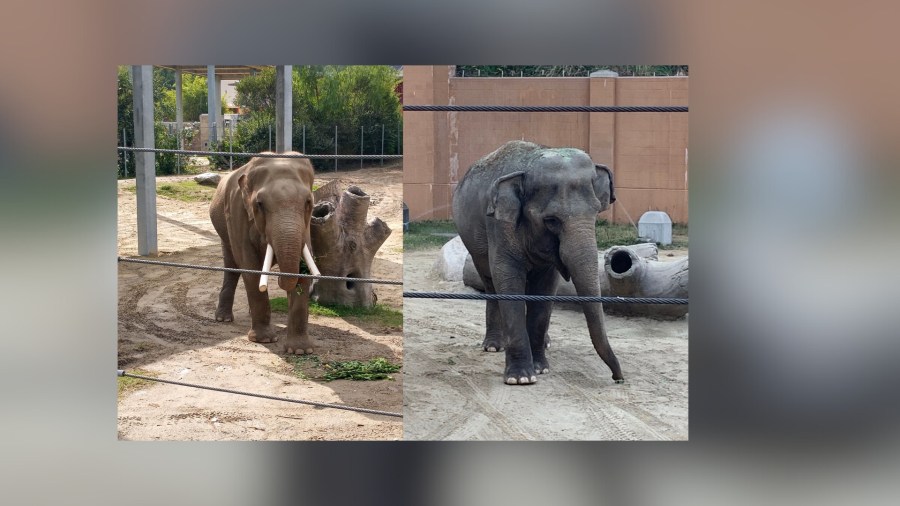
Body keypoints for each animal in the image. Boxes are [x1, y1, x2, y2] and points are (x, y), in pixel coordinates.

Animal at [209, 153, 317, 355]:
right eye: (259, 204)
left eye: (308, 202)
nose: (281, 279)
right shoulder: (236, 211)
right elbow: (250, 268)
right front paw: (264, 340)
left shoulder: (307, 226)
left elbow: (305, 269)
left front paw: (299, 351)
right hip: (223, 230)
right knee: (232, 266)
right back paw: (223, 318)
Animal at [452, 140, 624, 385]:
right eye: (551, 220)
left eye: (596, 212)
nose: (618, 378)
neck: (529, 163)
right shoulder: (499, 226)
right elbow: (508, 280)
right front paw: (521, 378)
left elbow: (545, 290)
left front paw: (541, 368)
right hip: (473, 244)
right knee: (490, 282)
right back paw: (494, 346)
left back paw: (545, 343)